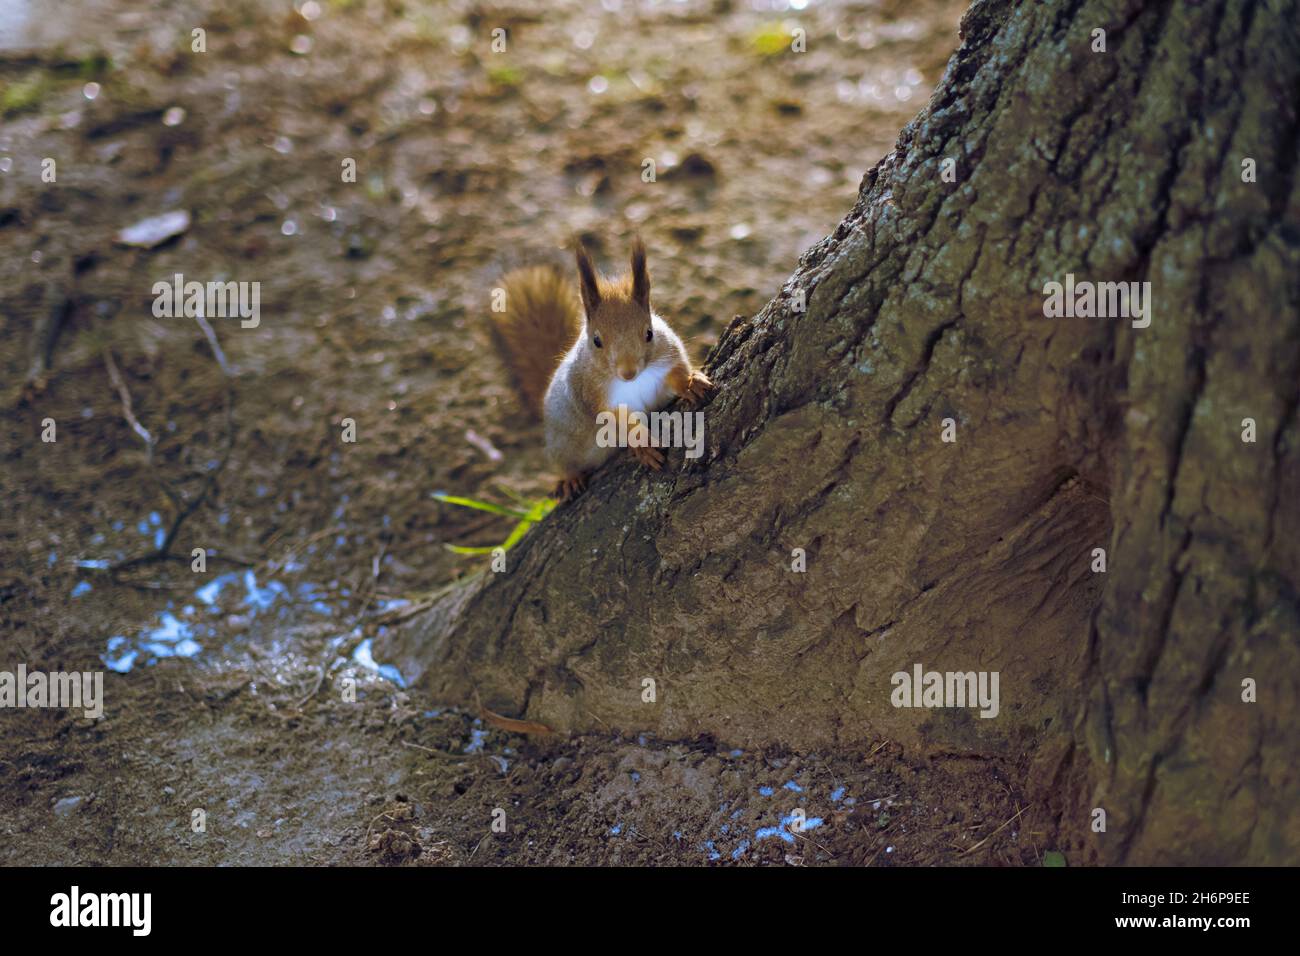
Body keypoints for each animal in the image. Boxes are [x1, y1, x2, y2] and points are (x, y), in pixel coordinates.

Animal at [490, 238, 714, 500]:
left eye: (649, 333)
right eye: (596, 340)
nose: (628, 373)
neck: (634, 381)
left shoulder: (668, 353)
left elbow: (677, 372)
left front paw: (691, 382)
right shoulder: (592, 395)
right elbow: (617, 421)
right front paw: (642, 443)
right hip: (562, 446)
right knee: (564, 463)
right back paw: (570, 478)